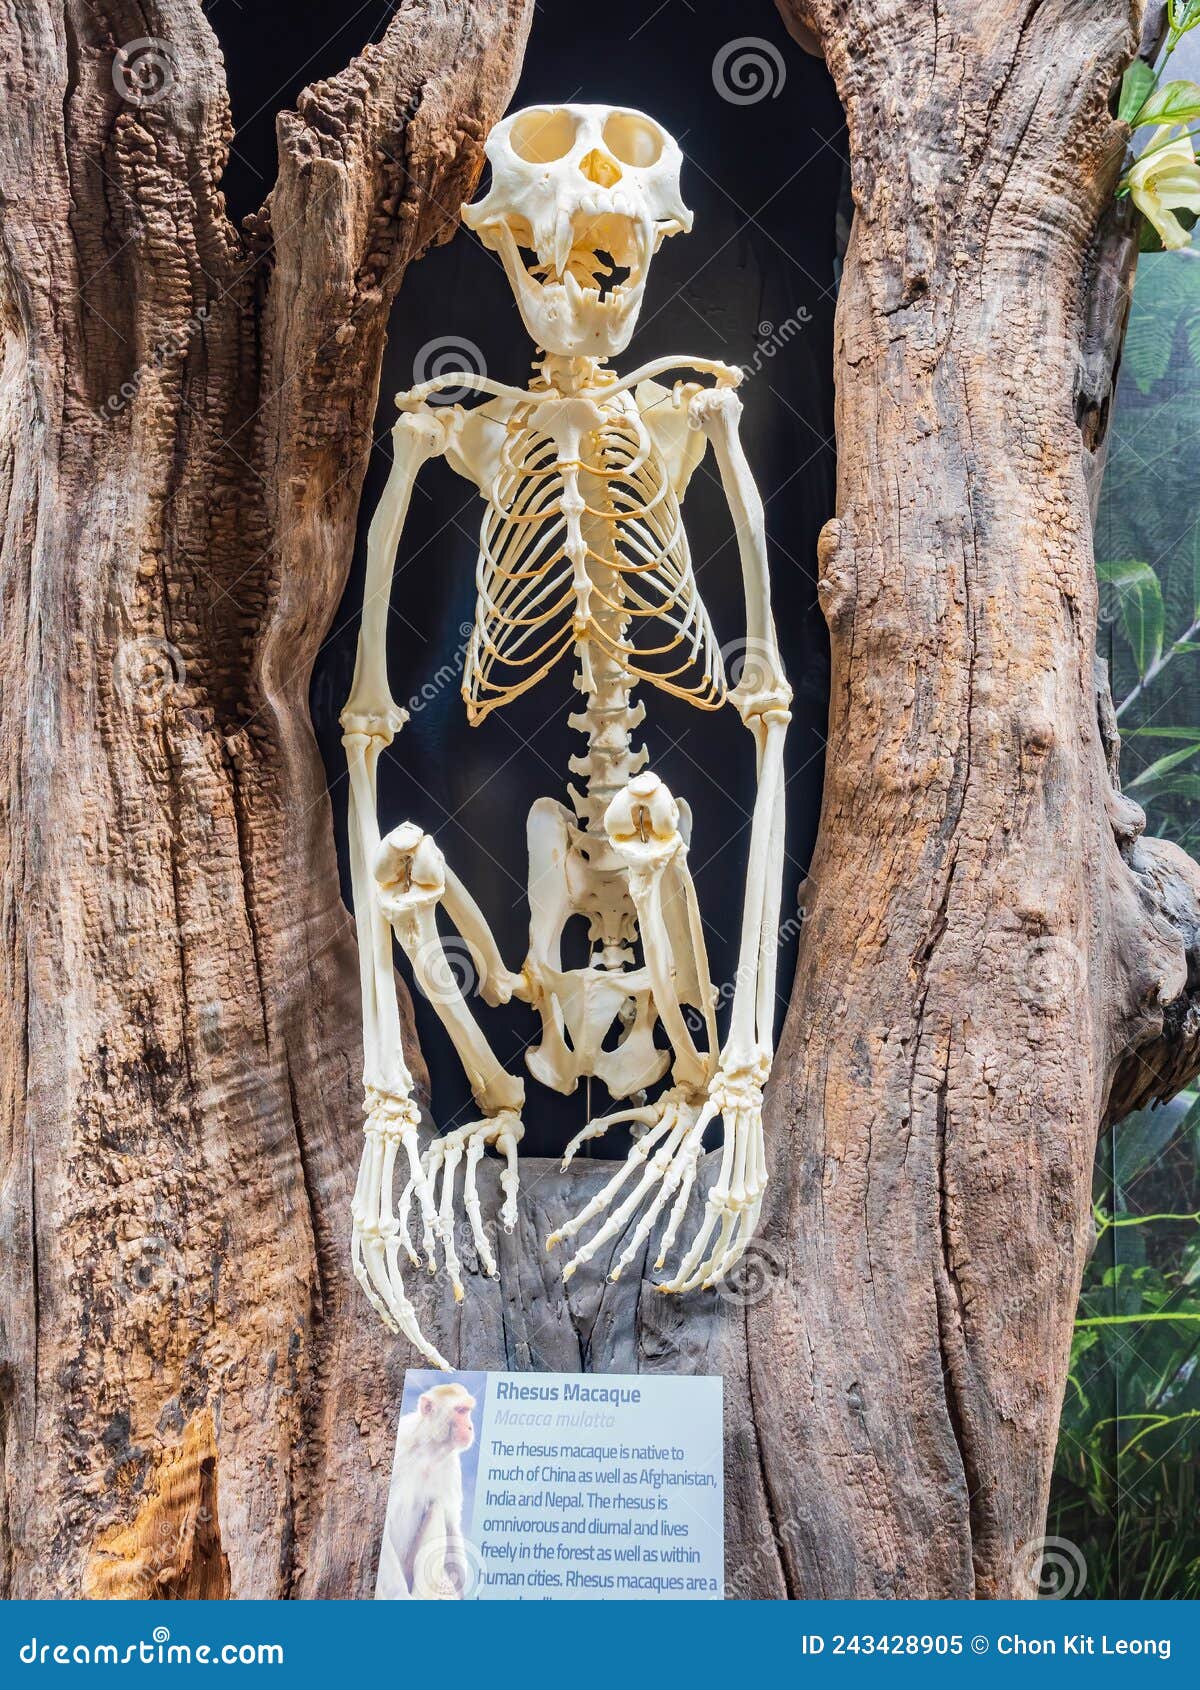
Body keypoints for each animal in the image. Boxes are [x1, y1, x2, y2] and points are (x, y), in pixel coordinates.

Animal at [377, 1382, 477, 1599]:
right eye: (460, 1410)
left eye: (467, 1411)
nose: (470, 1427)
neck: (429, 1447)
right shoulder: (401, 1449)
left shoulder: (451, 1466)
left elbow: (450, 1522)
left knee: (437, 1508)